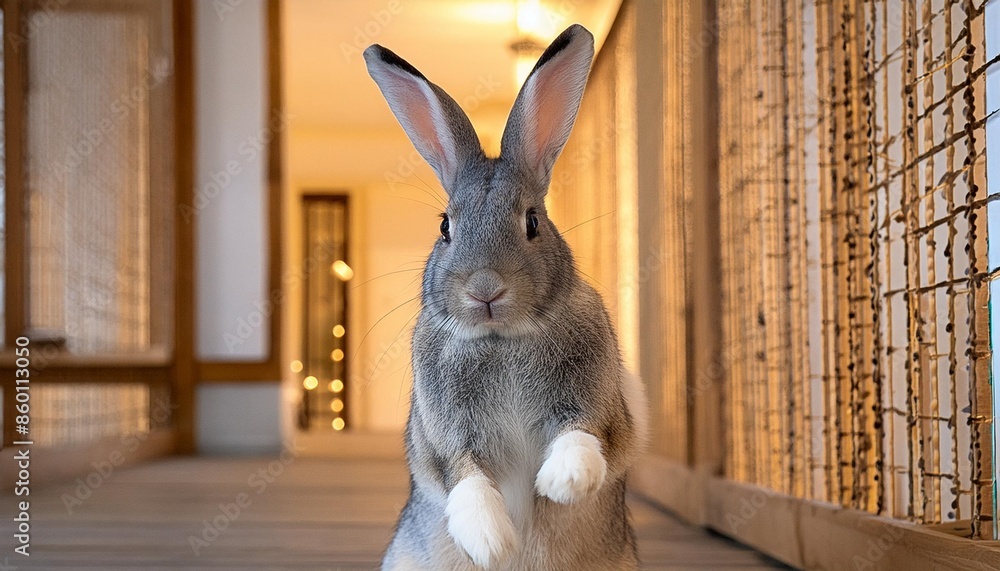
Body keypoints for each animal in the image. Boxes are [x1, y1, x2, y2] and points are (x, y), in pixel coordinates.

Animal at [364, 23, 649, 571]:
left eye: (532, 221)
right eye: (445, 227)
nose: (484, 289)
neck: (503, 338)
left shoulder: (599, 403)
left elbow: (583, 434)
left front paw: (562, 481)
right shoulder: (445, 437)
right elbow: (464, 476)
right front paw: (491, 542)